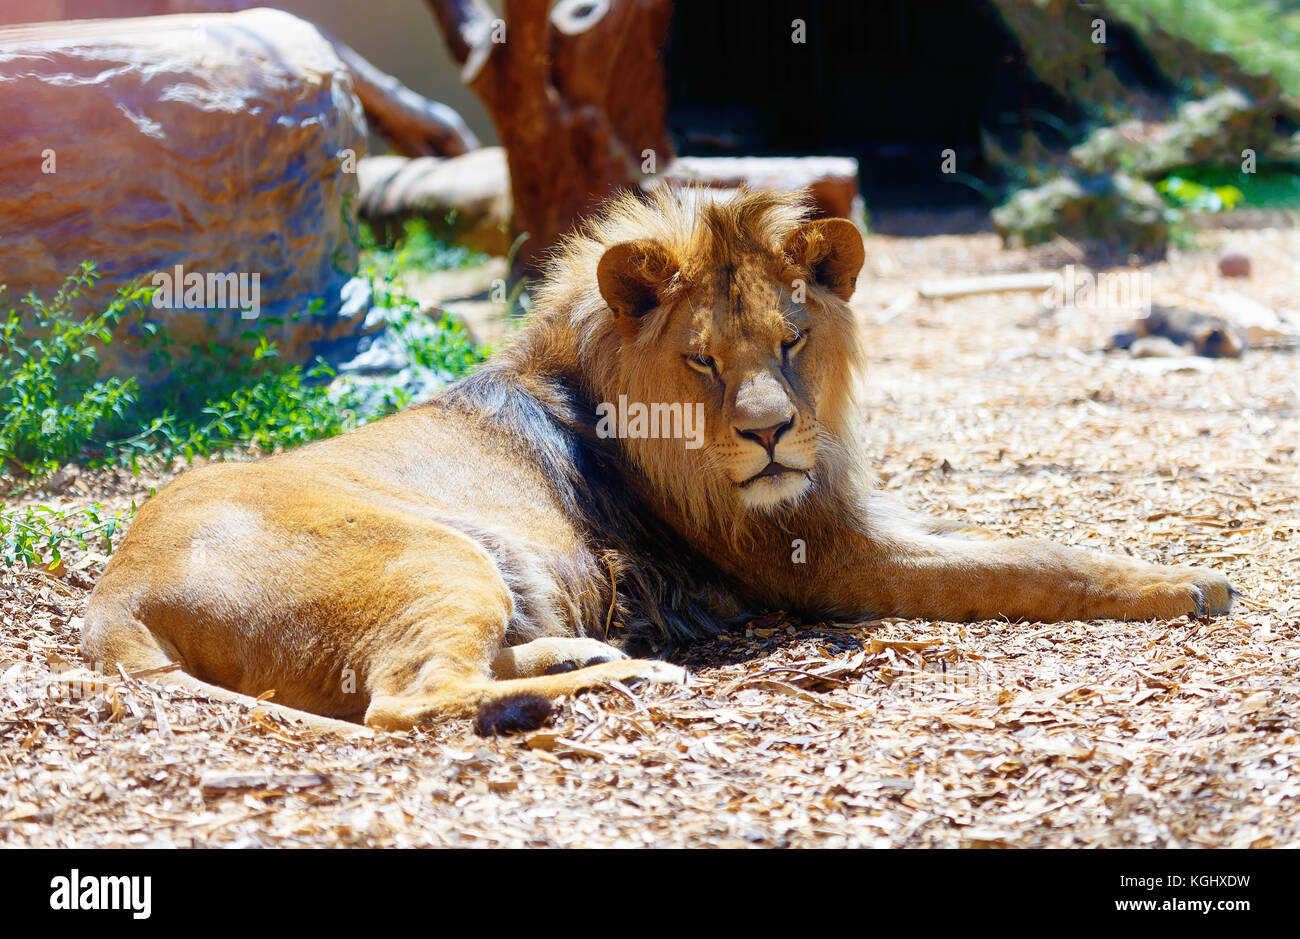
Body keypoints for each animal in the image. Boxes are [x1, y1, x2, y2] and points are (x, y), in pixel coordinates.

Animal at [83, 188, 1235, 736]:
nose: (770, 434)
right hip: (432, 554)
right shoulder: (831, 560)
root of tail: (114, 596)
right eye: (702, 359)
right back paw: (621, 676)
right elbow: (1029, 563)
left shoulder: (855, 514)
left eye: (790, 341)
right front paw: (1192, 584)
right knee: (403, 700)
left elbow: (1015, 536)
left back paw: (580, 659)